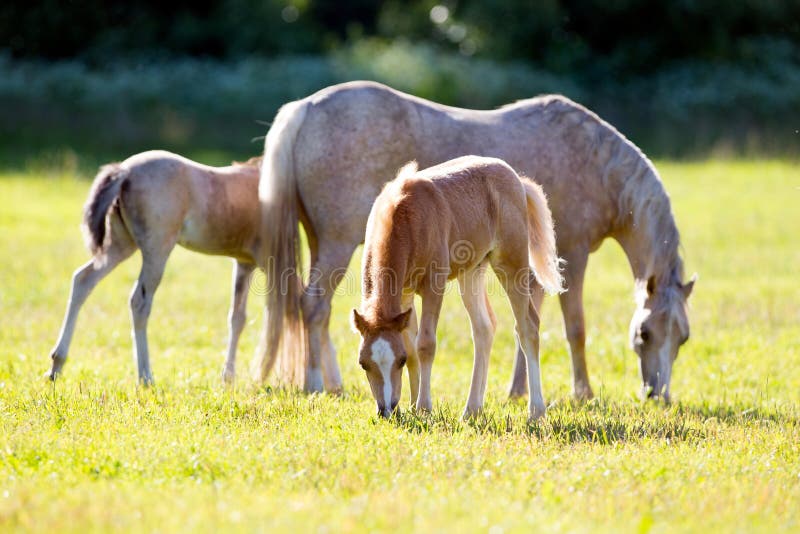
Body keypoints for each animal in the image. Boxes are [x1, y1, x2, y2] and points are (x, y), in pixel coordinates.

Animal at [47, 150, 263, 385]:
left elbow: (238, 317)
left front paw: (229, 377)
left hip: (120, 246)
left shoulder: (244, 263)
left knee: (83, 279)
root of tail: (124, 170)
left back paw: (57, 365)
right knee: (139, 301)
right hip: (157, 251)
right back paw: (145, 377)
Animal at [352, 157, 563, 420]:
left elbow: (425, 344)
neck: (405, 216)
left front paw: (423, 408)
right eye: (363, 363)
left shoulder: (434, 286)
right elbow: (412, 346)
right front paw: (412, 405)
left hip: (511, 265)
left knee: (527, 327)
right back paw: (472, 409)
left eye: (399, 361)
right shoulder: (404, 296)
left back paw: (535, 411)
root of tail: (518, 182)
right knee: (484, 328)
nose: (386, 410)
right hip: (472, 272)